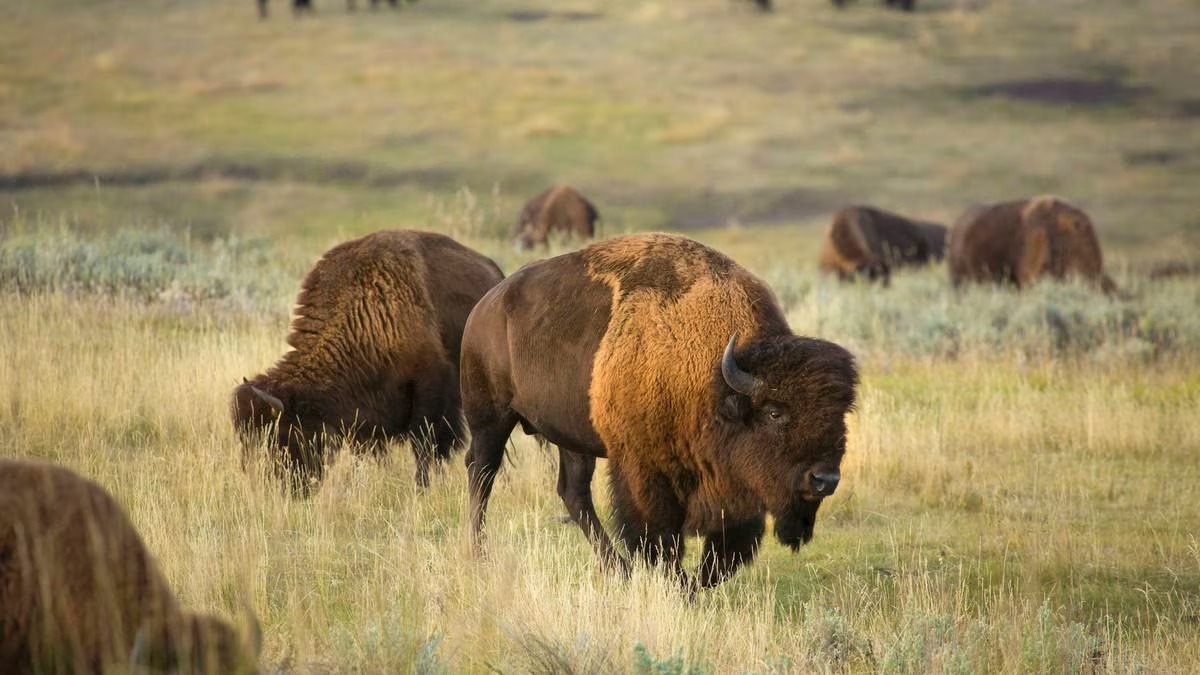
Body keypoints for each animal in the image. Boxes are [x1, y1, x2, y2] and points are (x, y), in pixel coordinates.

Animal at [233, 230, 504, 492]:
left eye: (281, 436)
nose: (279, 488)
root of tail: (494, 274)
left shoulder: (428, 392)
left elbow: (424, 447)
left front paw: (421, 488)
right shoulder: (365, 419)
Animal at [461, 233, 858, 588]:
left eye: (839, 416)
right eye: (775, 413)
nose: (824, 479)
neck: (715, 380)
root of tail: (486, 305)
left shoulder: (734, 490)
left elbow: (723, 553)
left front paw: (693, 586)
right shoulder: (644, 470)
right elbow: (660, 536)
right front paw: (676, 584)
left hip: (571, 437)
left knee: (573, 493)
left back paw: (618, 569)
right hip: (491, 420)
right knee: (482, 475)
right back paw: (480, 555)